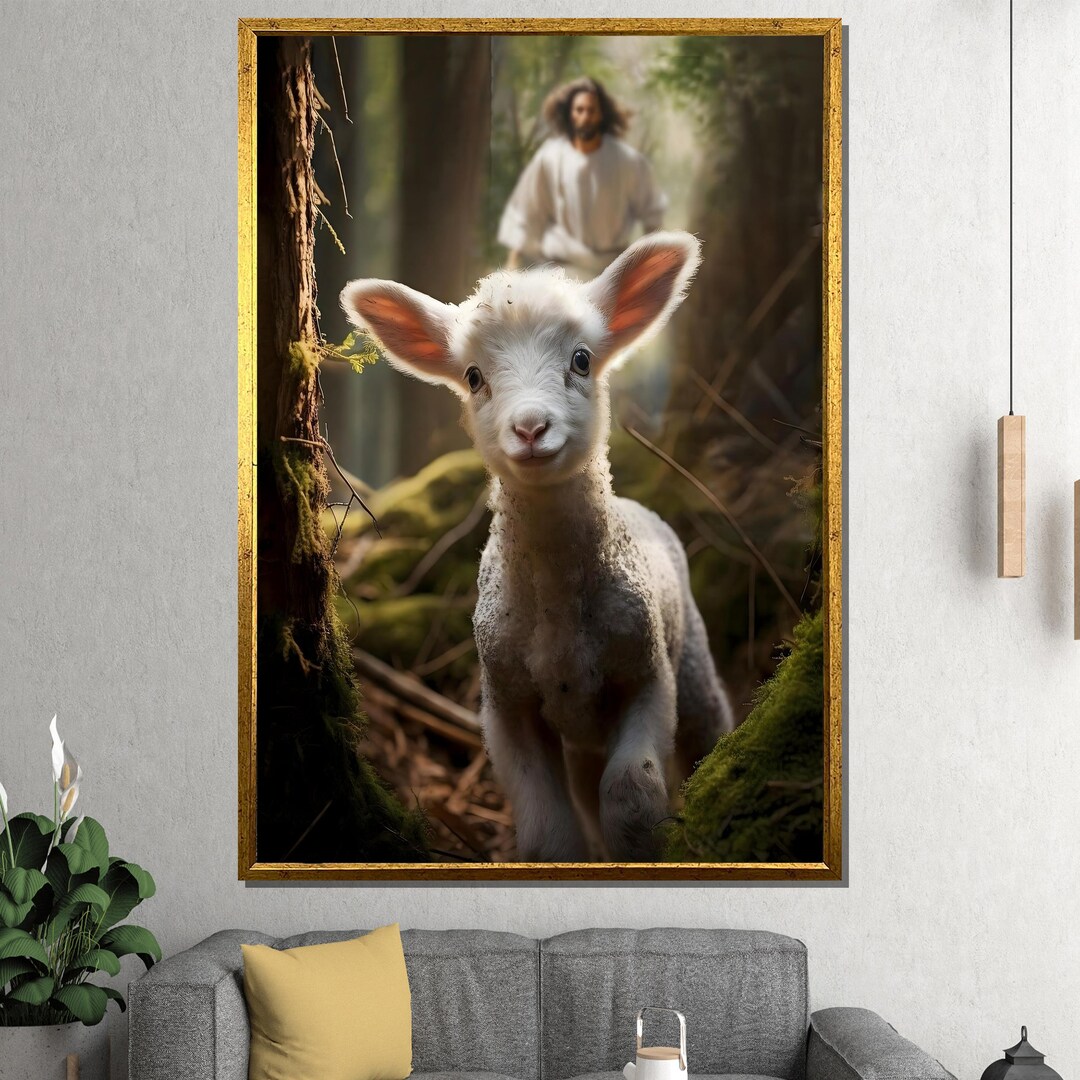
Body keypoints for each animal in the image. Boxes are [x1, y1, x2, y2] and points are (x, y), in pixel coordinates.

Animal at [340, 230, 734, 862]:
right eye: (473, 376)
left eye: (582, 359)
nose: (530, 428)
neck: (558, 620)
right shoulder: (506, 705)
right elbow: (551, 834)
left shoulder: (648, 677)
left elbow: (632, 794)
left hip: (692, 661)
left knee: (708, 729)